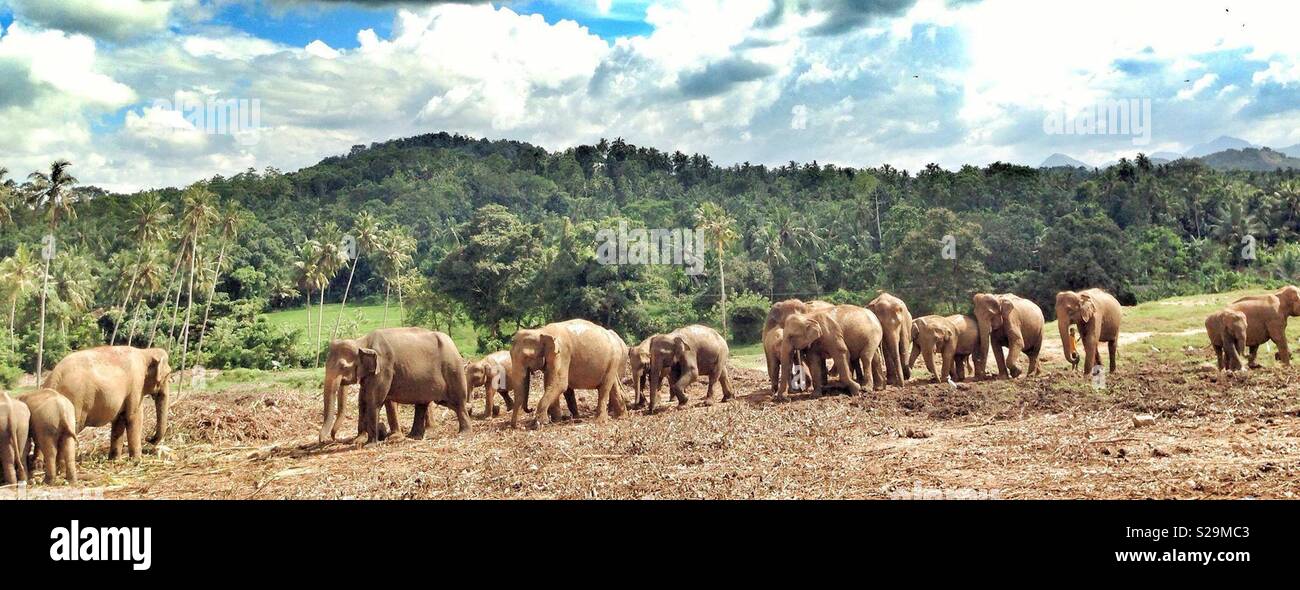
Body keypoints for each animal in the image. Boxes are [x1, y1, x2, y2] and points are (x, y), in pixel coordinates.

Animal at [323, 328, 471, 445]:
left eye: (343, 366)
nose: (331, 439)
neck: (362, 342)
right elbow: (363, 400)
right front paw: (359, 442)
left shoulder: (384, 367)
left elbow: (374, 400)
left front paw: (369, 445)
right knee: (423, 404)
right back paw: (413, 436)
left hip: (453, 370)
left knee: (458, 403)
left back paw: (463, 433)